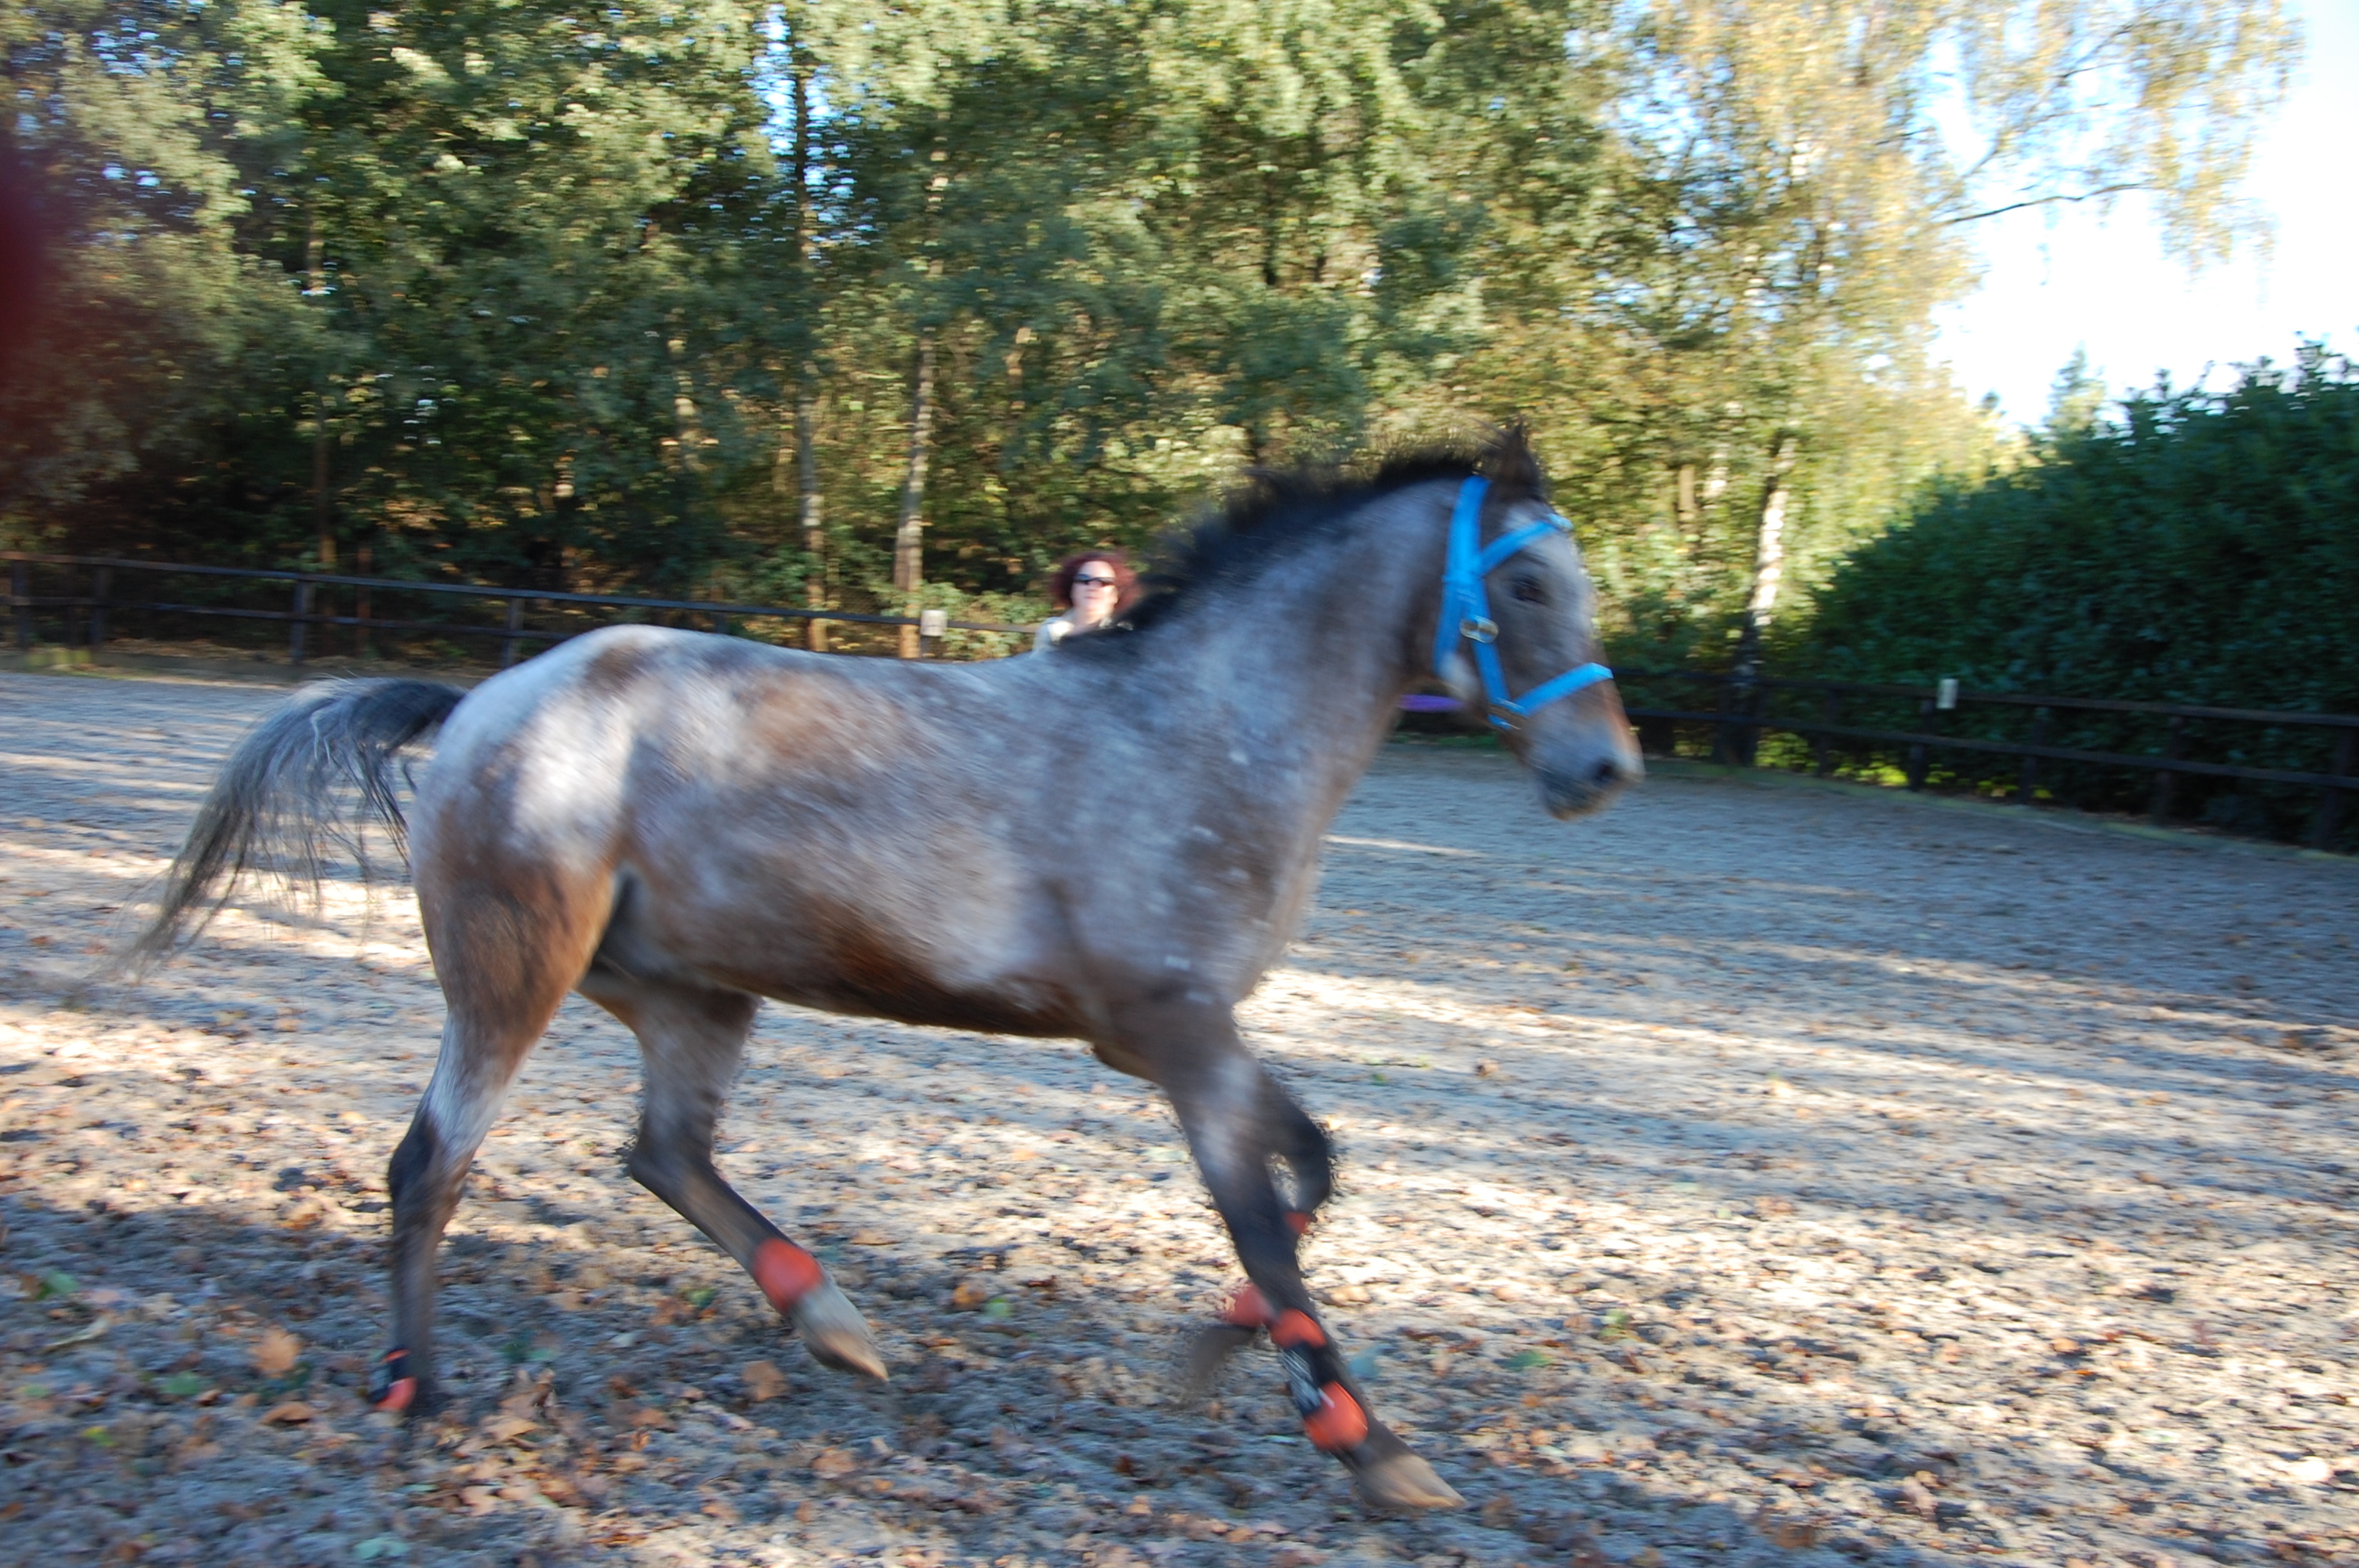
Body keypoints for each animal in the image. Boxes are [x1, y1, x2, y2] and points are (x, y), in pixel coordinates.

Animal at [126, 427, 1640, 1511]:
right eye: (1522, 584)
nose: (1603, 771)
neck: (1199, 730)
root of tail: (483, 704)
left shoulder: (1170, 1035)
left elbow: (1312, 1170)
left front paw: (1223, 1357)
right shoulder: (1175, 1032)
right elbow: (1266, 1221)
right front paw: (1366, 1443)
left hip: (692, 992)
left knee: (664, 1153)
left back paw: (834, 1323)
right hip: (514, 981)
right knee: (431, 1168)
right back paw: (419, 1390)